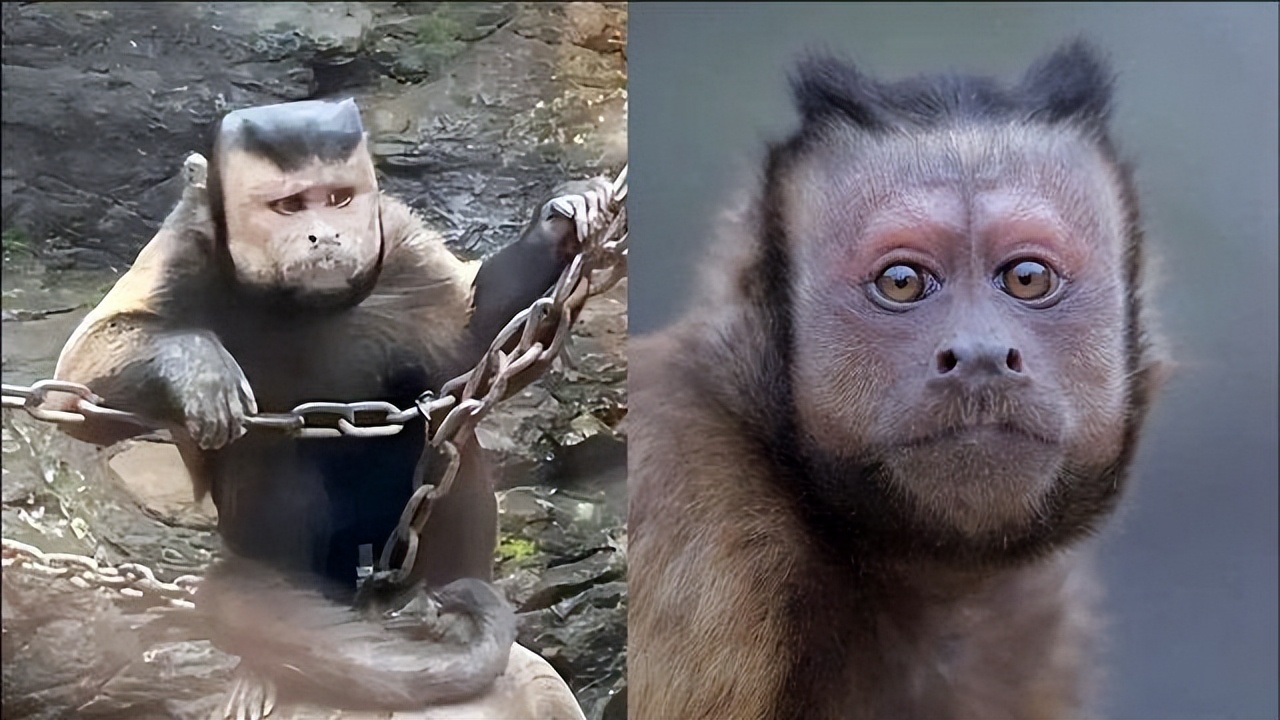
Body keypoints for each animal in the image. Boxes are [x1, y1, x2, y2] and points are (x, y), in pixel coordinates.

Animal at [50, 98, 613, 711]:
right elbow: (76, 395)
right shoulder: (182, 247)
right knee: (270, 452)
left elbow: (473, 354)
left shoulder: (399, 242)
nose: (324, 235)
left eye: (339, 198)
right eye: (291, 206)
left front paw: (557, 225)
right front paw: (196, 365)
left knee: (446, 441)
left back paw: (437, 602)